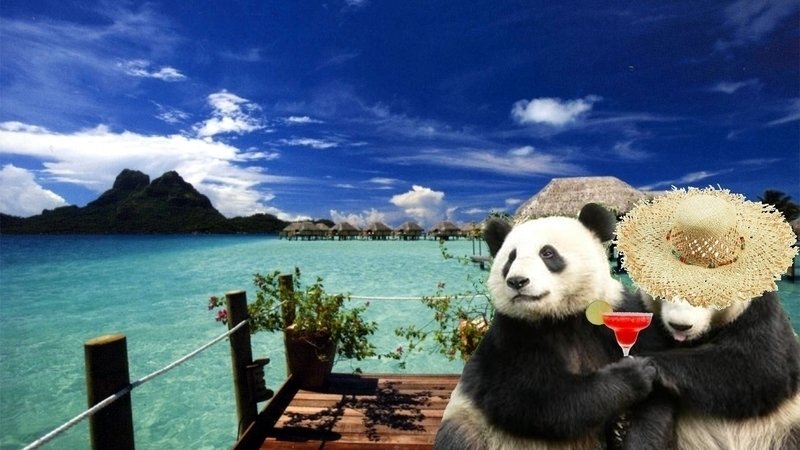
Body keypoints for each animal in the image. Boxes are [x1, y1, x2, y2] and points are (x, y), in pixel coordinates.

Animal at [434, 203, 657, 450]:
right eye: (510, 258)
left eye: (547, 253)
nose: (517, 281)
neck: (560, 315)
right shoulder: (512, 334)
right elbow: (532, 398)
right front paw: (634, 373)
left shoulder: (614, 309)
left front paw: (622, 425)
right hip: (472, 423)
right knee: (461, 435)